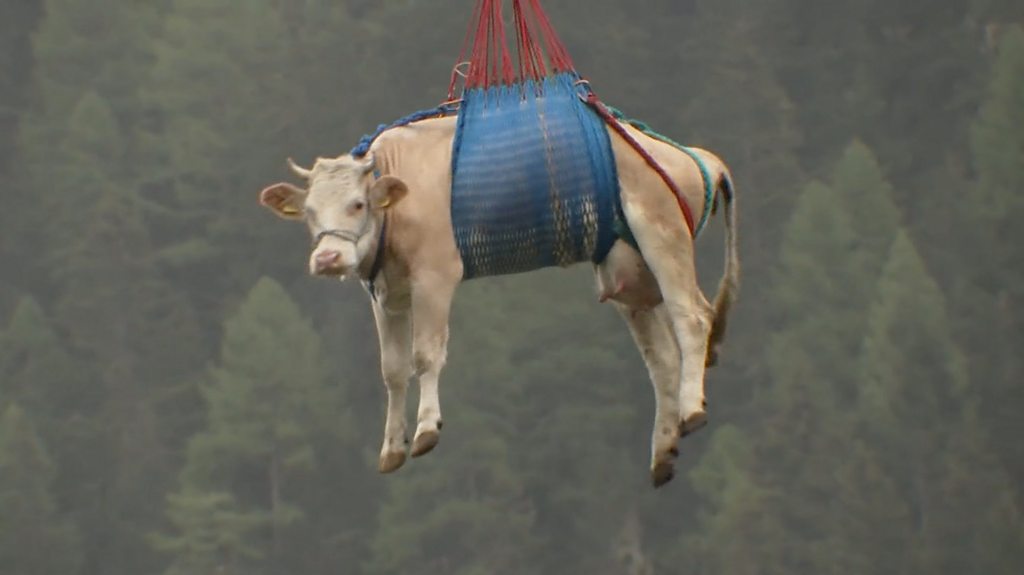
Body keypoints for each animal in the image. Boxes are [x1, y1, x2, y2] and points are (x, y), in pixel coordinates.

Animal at [258, 115, 738, 487]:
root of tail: (691, 154)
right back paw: (664, 448)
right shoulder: (386, 295)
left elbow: (425, 355)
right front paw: (392, 446)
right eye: (309, 213)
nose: (328, 258)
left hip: (661, 233)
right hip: (627, 274)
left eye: (358, 204)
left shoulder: (435, 276)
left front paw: (427, 427)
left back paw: (692, 410)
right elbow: (392, 371)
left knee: (693, 317)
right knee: (663, 361)